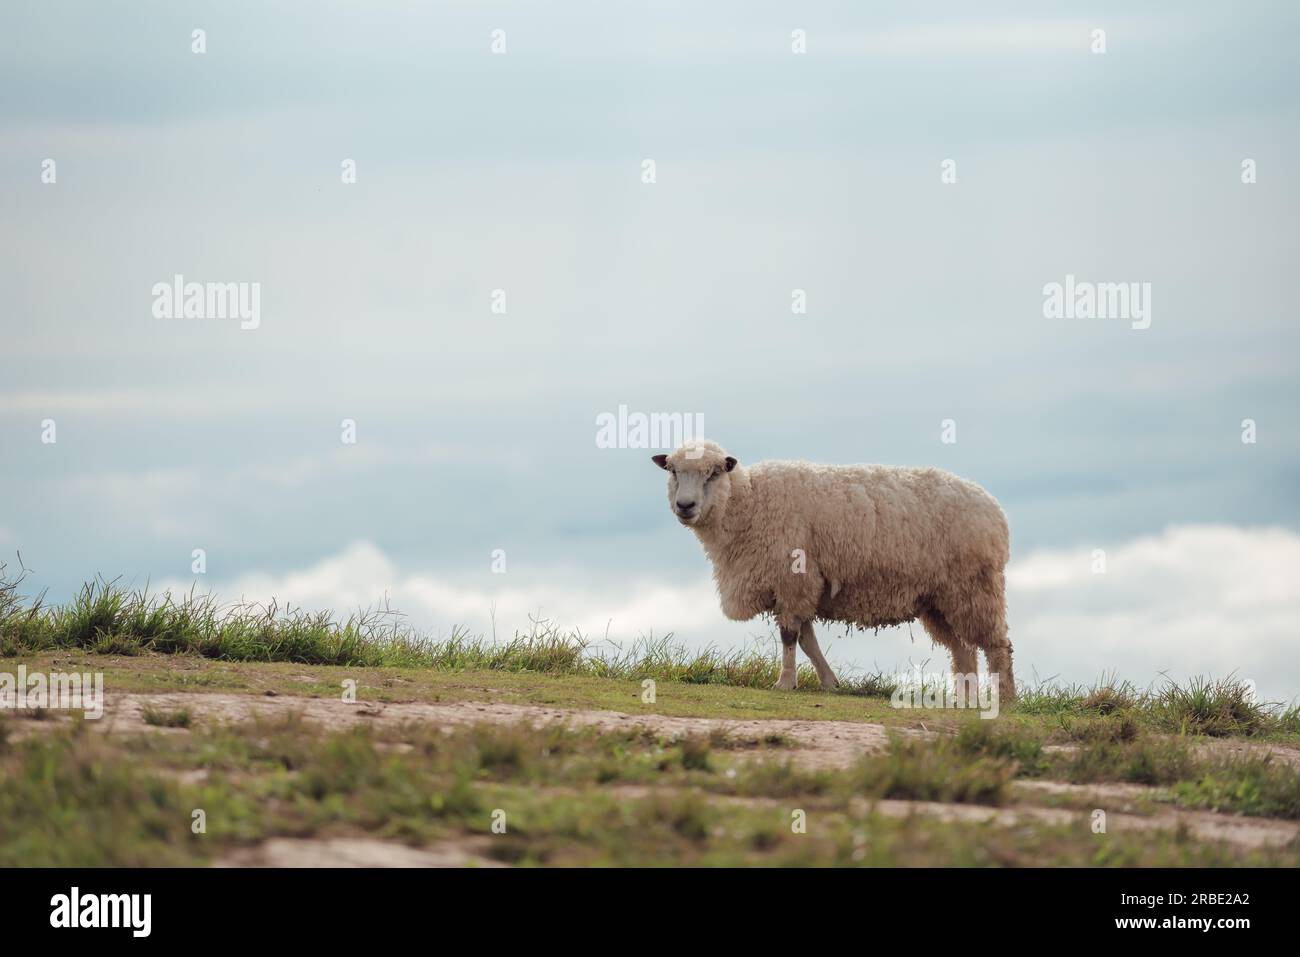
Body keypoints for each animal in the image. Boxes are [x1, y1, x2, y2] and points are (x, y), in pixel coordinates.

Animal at [652, 440, 1015, 703]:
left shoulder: (794, 578)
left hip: (975, 586)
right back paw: (965, 699)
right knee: (962, 649)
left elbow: (790, 636)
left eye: (713, 473)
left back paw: (1006, 698)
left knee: (997, 645)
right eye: (673, 471)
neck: (748, 504)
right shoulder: (802, 584)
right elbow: (807, 638)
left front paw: (785, 683)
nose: (685, 506)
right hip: (940, 598)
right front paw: (829, 682)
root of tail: (995, 510)